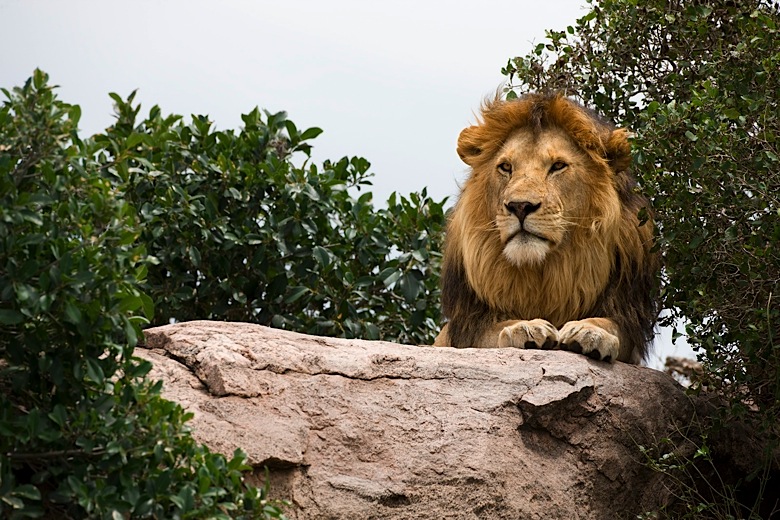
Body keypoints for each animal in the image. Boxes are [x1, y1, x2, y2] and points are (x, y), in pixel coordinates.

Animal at [434, 93, 658, 364]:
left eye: (558, 166)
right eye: (506, 167)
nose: (520, 206)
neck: (544, 273)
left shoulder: (625, 316)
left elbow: (613, 326)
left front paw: (591, 332)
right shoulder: (468, 326)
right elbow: (492, 330)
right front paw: (523, 327)